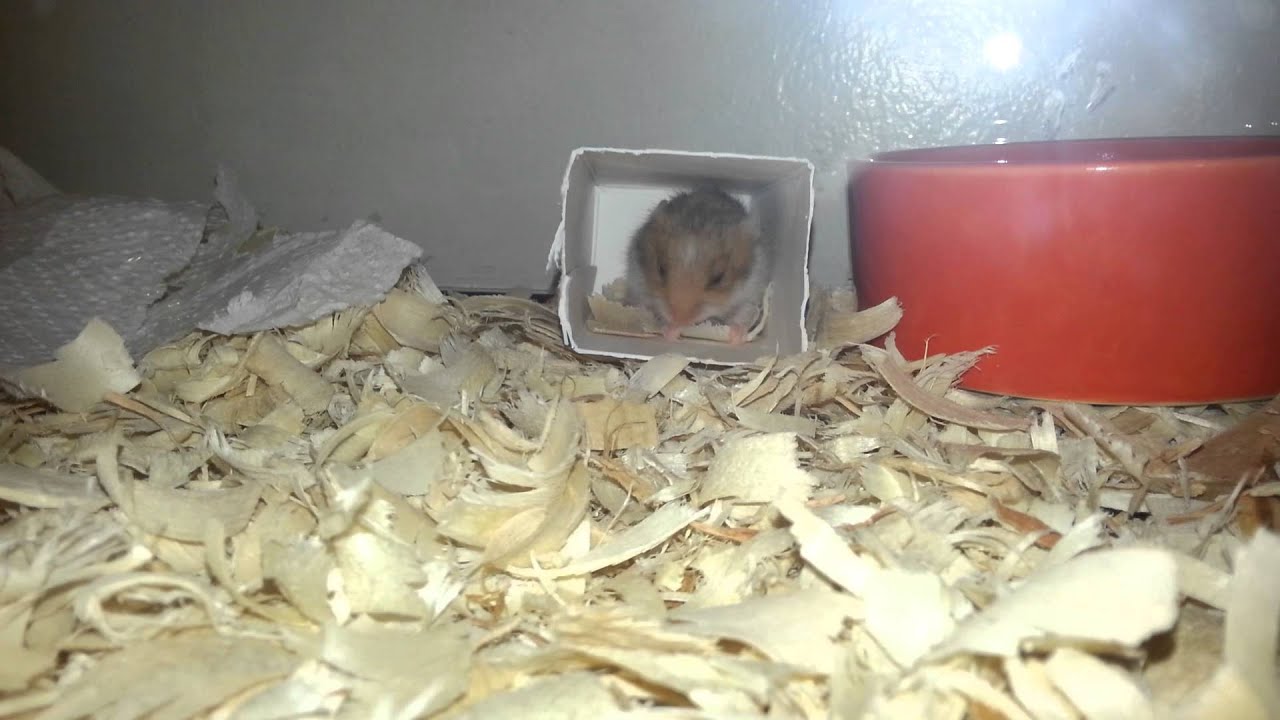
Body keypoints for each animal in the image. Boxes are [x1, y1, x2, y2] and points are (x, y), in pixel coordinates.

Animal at [624, 187, 773, 345]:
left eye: (718, 278)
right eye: (661, 269)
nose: (679, 320)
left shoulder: (751, 293)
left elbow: (743, 315)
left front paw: (736, 339)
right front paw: (671, 333)